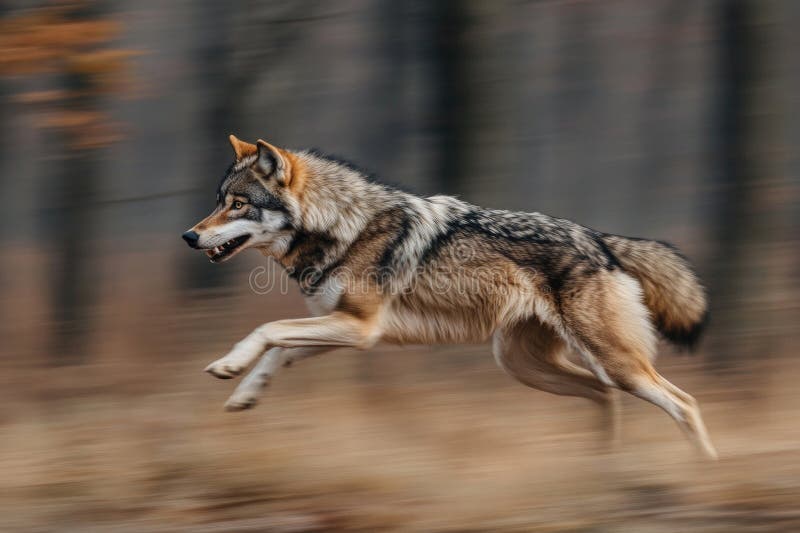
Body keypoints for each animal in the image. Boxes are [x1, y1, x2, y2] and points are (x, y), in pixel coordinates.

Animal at [182, 134, 716, 459]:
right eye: (217, 202)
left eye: (238, 205)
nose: (189, 236)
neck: (342, 226)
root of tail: (602, 241)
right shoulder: (344, 328)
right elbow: (279, 349)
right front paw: (244, 394)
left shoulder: (359, 328)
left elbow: (268, 329)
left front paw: (229, 363)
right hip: (526, 365)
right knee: (604, 396)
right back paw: (600, 468)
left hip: (614, 364)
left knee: (684, 403)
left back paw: (699, 466)